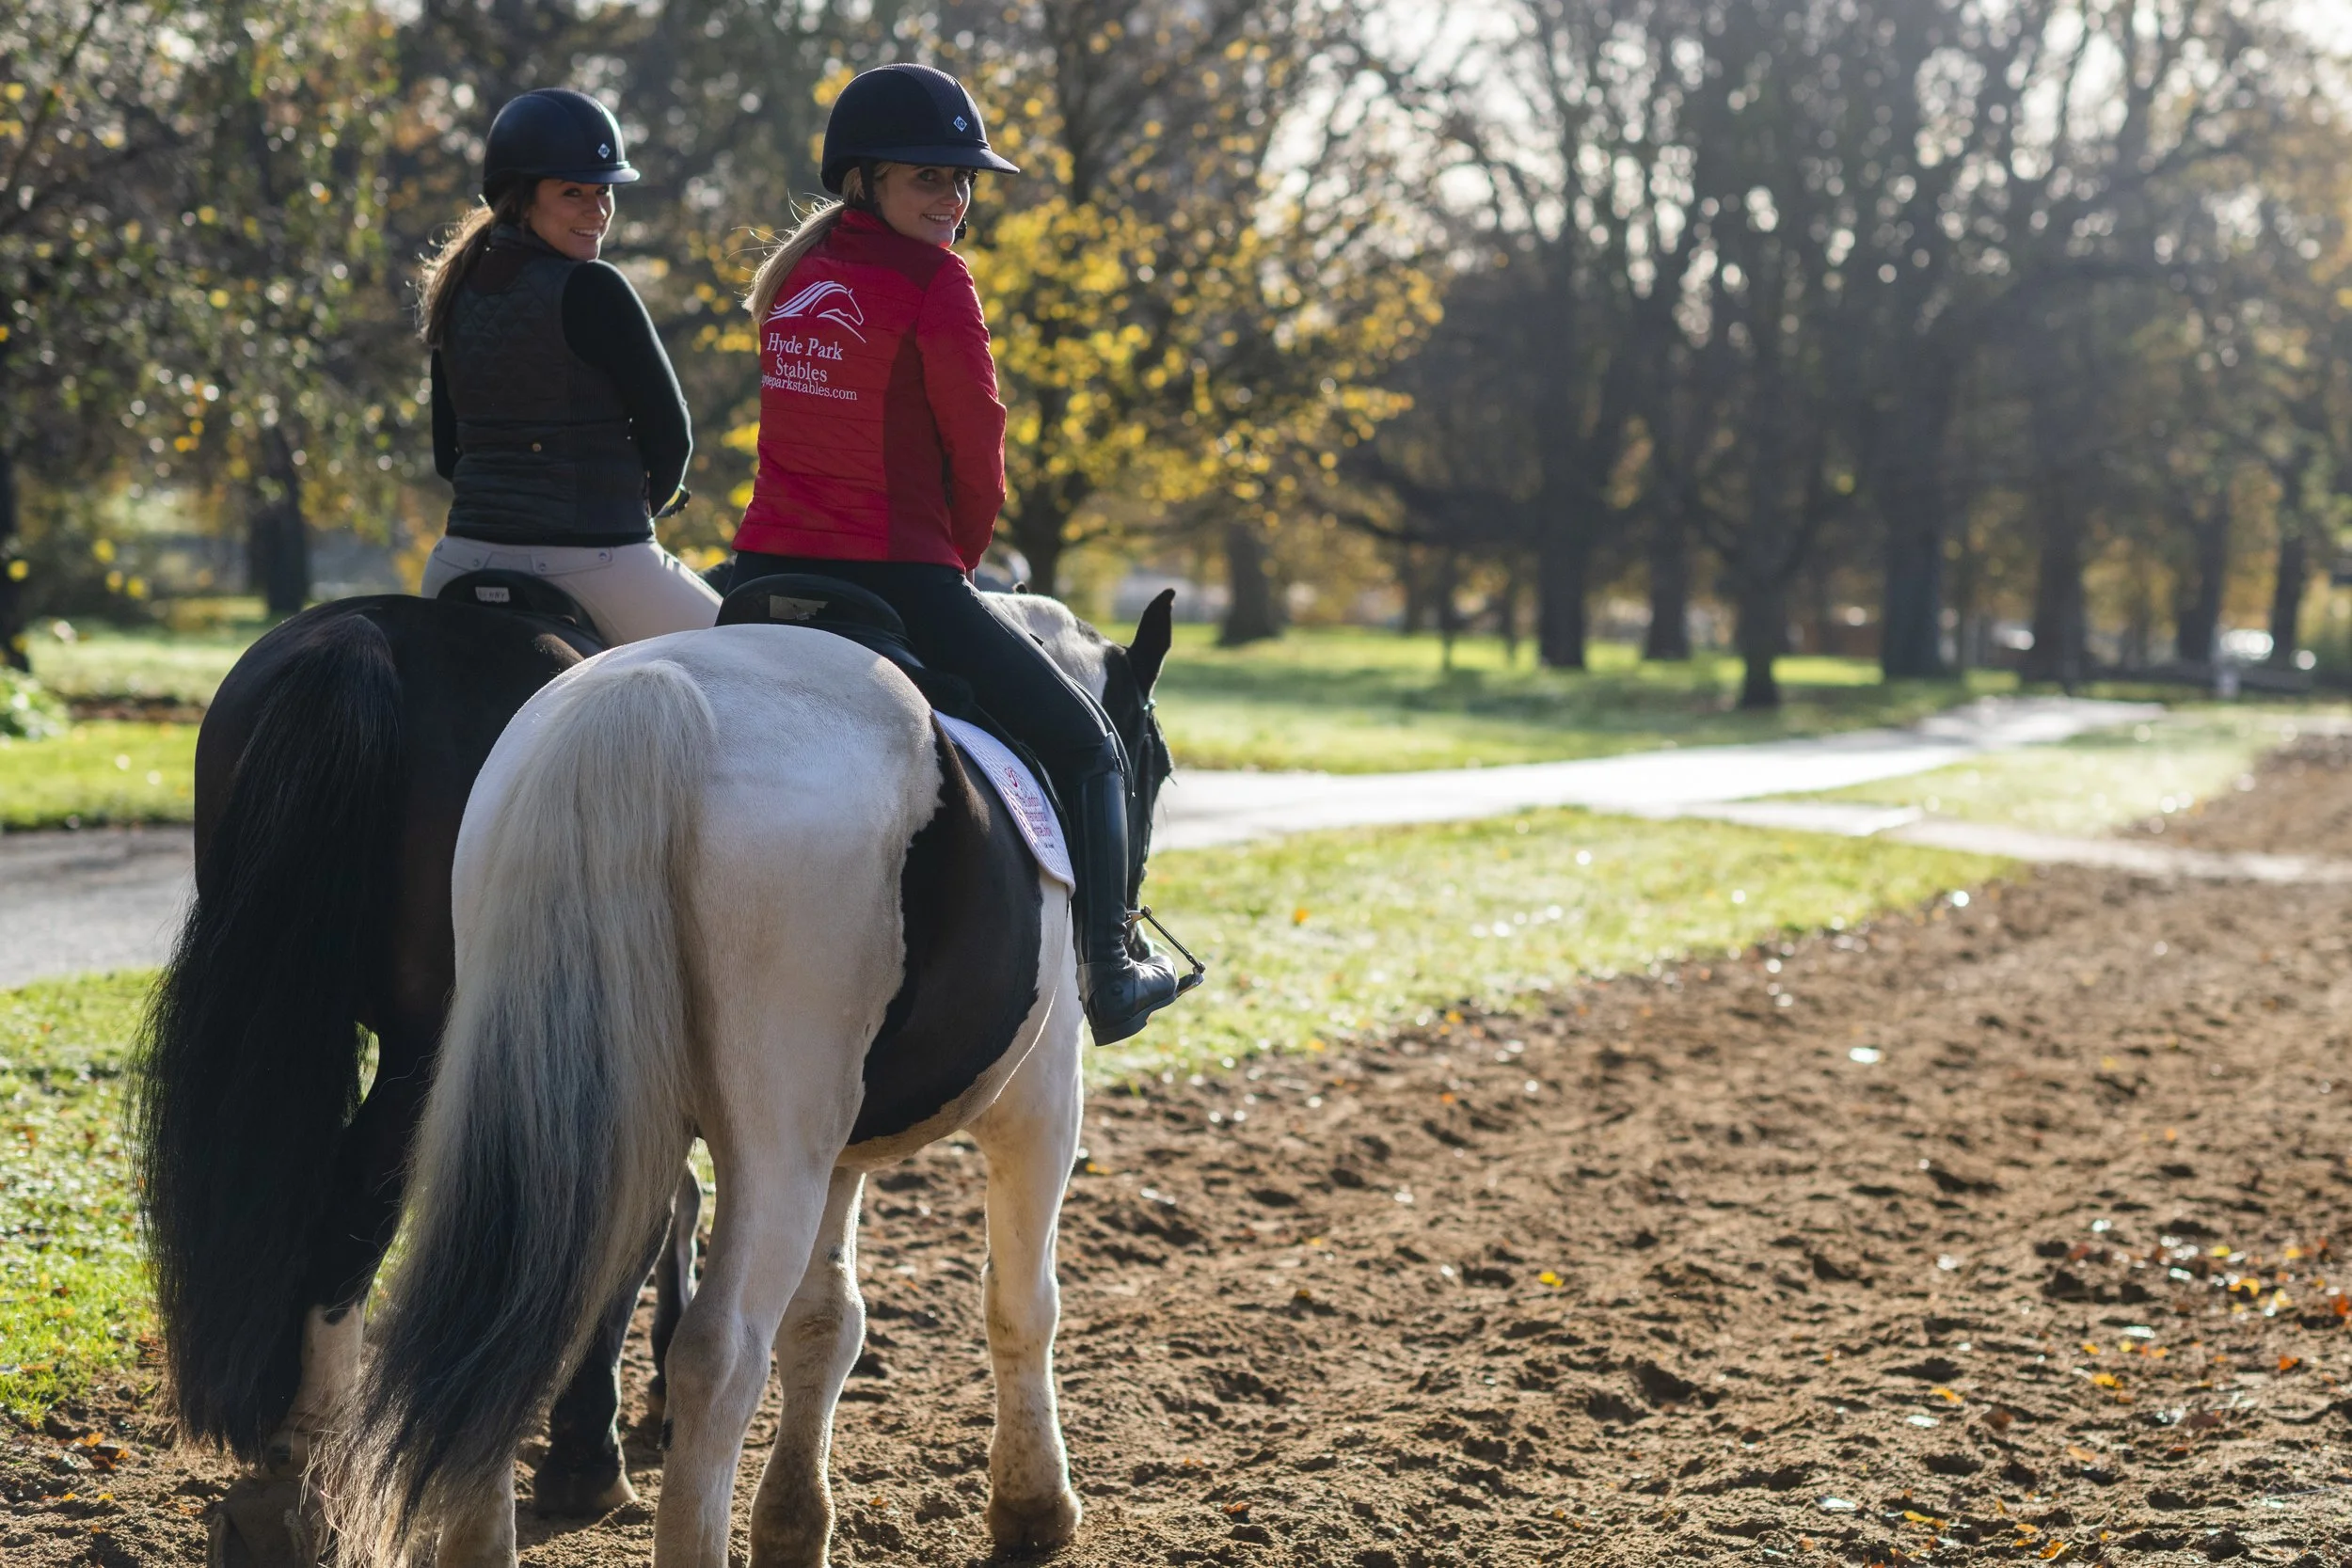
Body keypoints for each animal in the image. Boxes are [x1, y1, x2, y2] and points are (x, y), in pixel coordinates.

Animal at [323, 595, 1178, 1568]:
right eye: (1152, 762)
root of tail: (644, 695)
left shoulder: (840, 1152)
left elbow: (825, 1321)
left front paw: (794, 1524)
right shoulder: (1039, 1102)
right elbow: (1021, 1301)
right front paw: (1034, 1501)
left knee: (510, 1310)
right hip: (776, 1143)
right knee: (720, 1352)